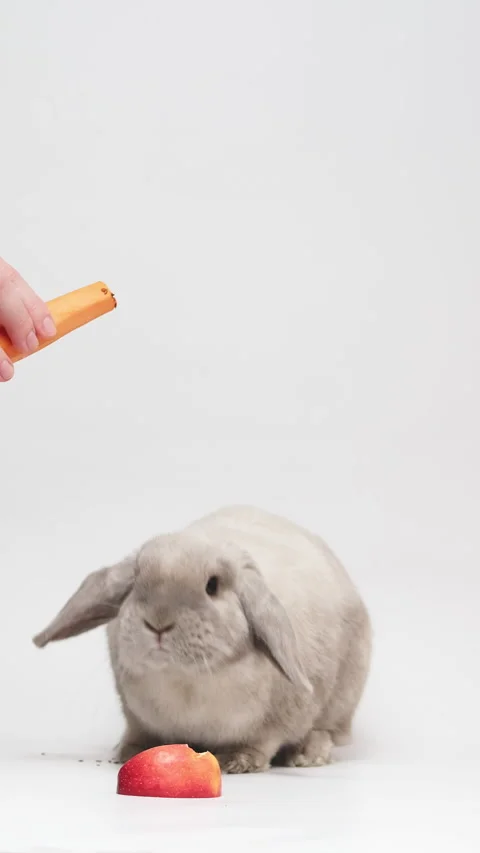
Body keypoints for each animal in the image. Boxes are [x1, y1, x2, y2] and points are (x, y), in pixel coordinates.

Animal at [33, 505, 371, 773]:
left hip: (343, 696)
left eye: (213, 585)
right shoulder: (136, 716)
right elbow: (139, 734)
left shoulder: (278, 720)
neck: (185, 682)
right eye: (136, 580)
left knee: (328, 730)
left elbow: (262, 741)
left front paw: (237, 761)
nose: (158, 622)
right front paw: (129, 752)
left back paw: (307, 754)